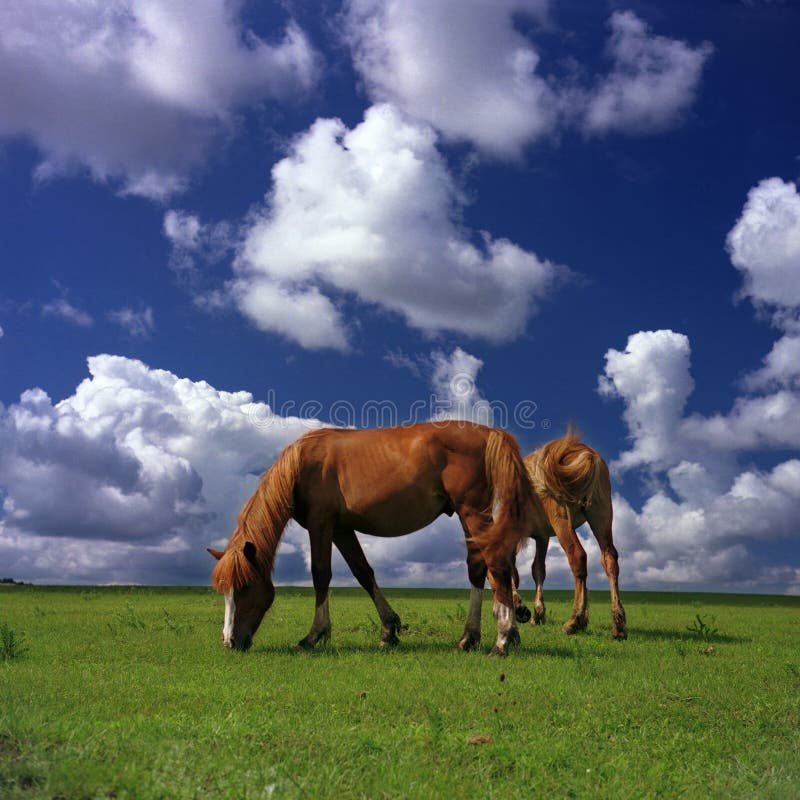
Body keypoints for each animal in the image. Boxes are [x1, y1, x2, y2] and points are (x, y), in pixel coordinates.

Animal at [208, 421, 549, 656]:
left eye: (245, 587)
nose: (229, 642)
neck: (303, 464)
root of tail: (488, 432)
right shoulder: (342, 529)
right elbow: (363, 572)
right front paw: (389, 629)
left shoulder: (321, 525)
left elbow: (321, 575)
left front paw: (314, 635)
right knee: (478, 567)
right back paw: (470, 637)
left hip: (473, 511)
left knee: (497, 563)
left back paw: (502, 638)